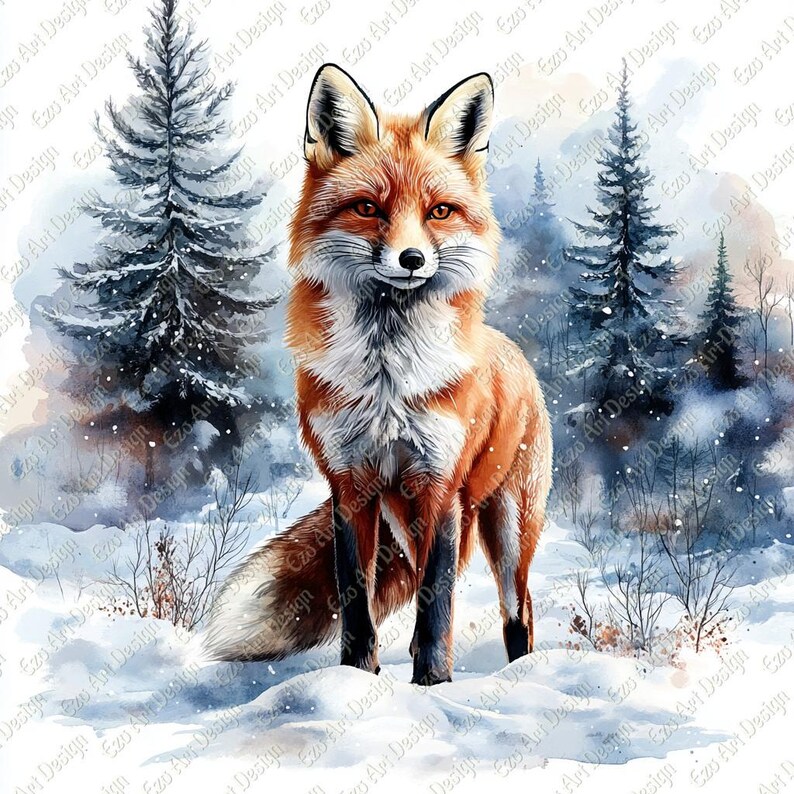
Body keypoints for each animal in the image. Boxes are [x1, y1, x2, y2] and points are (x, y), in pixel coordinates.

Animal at [204, 63, 553, 686]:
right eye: (368, 208)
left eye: (439, 211)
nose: (412, 260)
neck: (387, 379)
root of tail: (515, 351)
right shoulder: (350, 486)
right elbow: (356, 600)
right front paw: (357, 679)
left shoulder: (441, 489)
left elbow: (437, 603)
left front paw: (433, 684)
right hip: (404, 518)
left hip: (506, 526)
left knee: (519, 611)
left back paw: (522, 675)